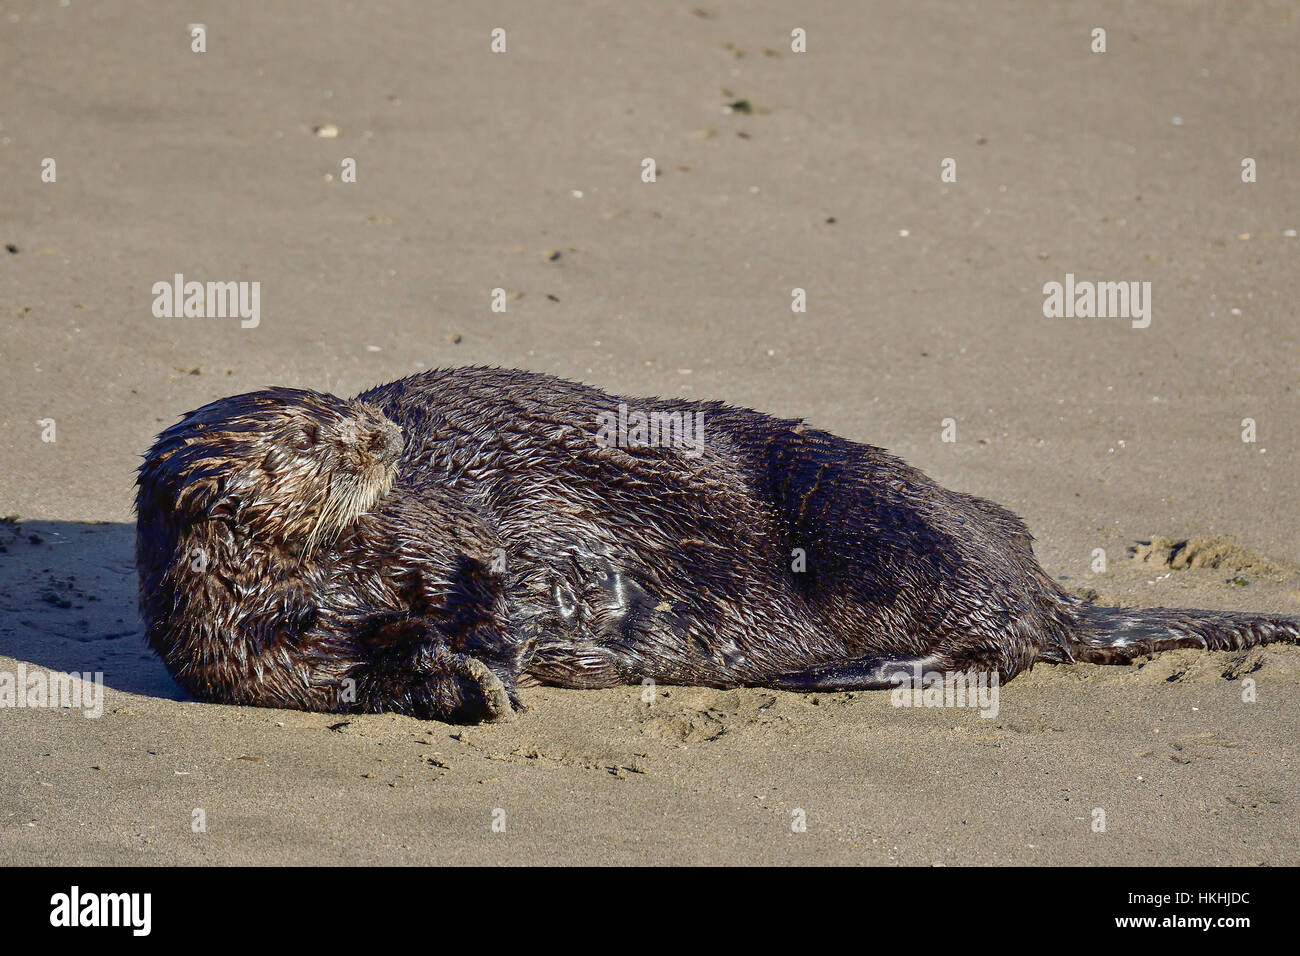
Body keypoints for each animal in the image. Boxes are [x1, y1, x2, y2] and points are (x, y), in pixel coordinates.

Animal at [136, 367, 1299, 723]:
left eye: (346, 409)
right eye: (314, 436)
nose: (383, 433)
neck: (333, 577)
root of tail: (1048, 584)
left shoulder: (434, 529)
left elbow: (479, 575)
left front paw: (500, 651)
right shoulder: (256, 658)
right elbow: (364, 672)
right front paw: (460, 680)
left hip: (876, 522)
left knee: (997, 642)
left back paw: (838, 673)